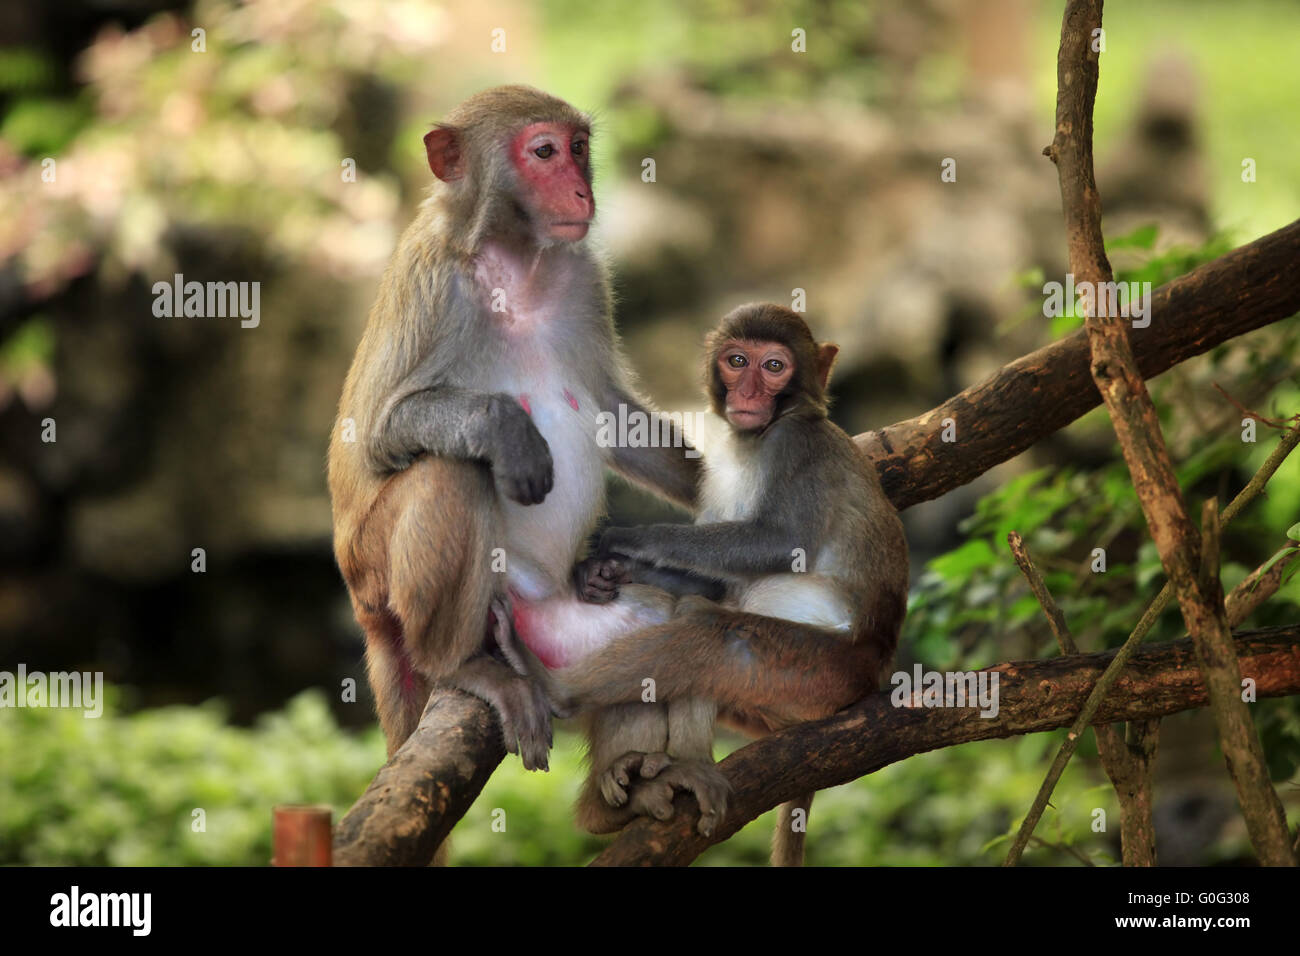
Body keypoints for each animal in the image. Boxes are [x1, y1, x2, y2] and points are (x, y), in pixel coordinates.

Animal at [327, 87, 700, 788]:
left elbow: (612, 414)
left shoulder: (584, 278)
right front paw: (506, 429)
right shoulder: (431, 284)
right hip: (375, 568)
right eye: (544, 152)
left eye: (578, 148)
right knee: (450, 472)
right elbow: (379, 432)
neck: (515, 261)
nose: (581, 190)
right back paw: (461, 665)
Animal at [553, 303, 910, 864]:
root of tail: (876, 667)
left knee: (712, 636)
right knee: (685, 616)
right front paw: (602, 571)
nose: (748, 394)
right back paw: (617, 799)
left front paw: (630, 539)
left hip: (819, 675)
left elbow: (781, 543)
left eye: (774, 367)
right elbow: (715, 581)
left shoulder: (797, 447)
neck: (758, 436)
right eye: (737, 361)